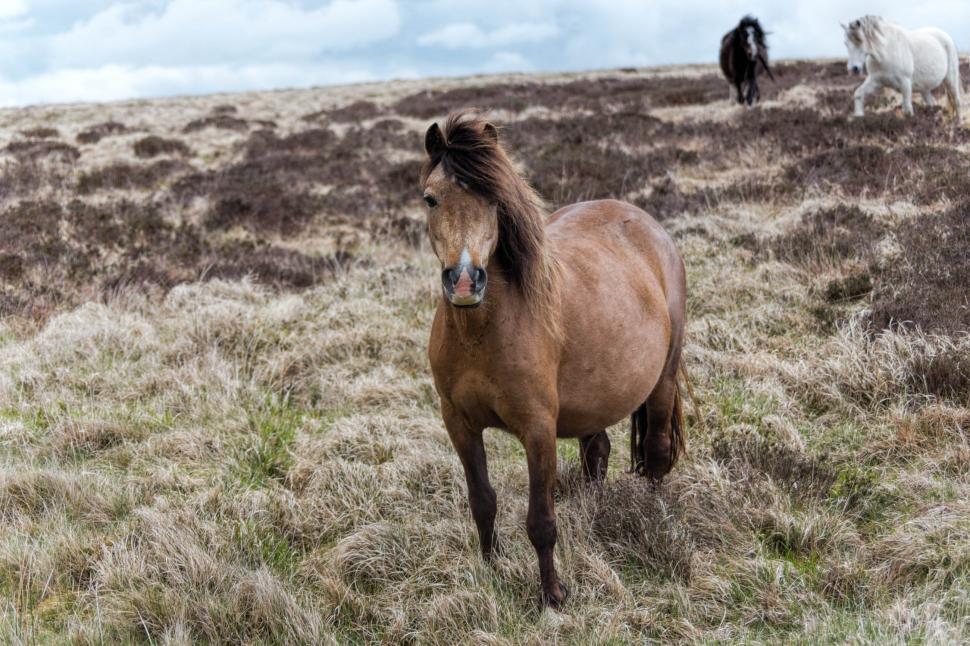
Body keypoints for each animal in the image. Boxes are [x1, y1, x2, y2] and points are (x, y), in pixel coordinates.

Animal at [422, 112, 687, 608]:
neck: (481, 332)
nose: (465, 281)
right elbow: (482, 501)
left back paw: (653, 514)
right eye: (431, 198)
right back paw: (595, 508)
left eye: (495, 199)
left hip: (662, 380)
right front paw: (492, 568)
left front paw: (553, 596)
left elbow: (541, 522)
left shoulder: (538, 430)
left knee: (657, 452)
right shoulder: (459, 424)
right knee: (598, 451)